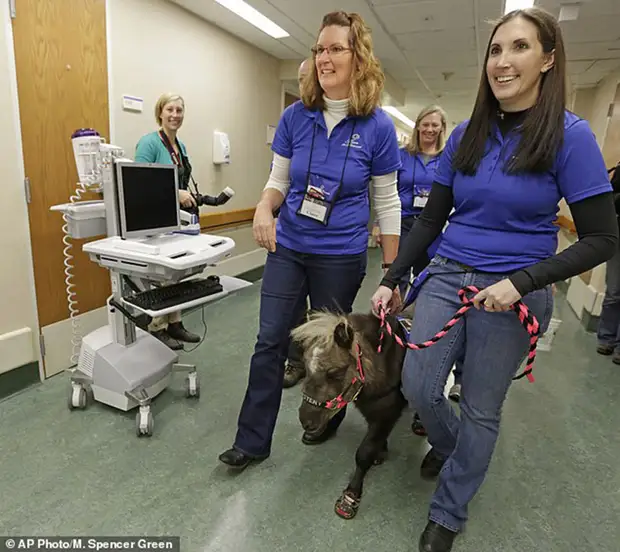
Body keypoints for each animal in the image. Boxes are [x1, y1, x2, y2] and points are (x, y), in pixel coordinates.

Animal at [292, 310, 410, 520]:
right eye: (305, 367)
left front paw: (351, 496)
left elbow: (363, 454)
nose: (306, 421)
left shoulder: (386, 414)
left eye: (335, 372)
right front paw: (381, 453)